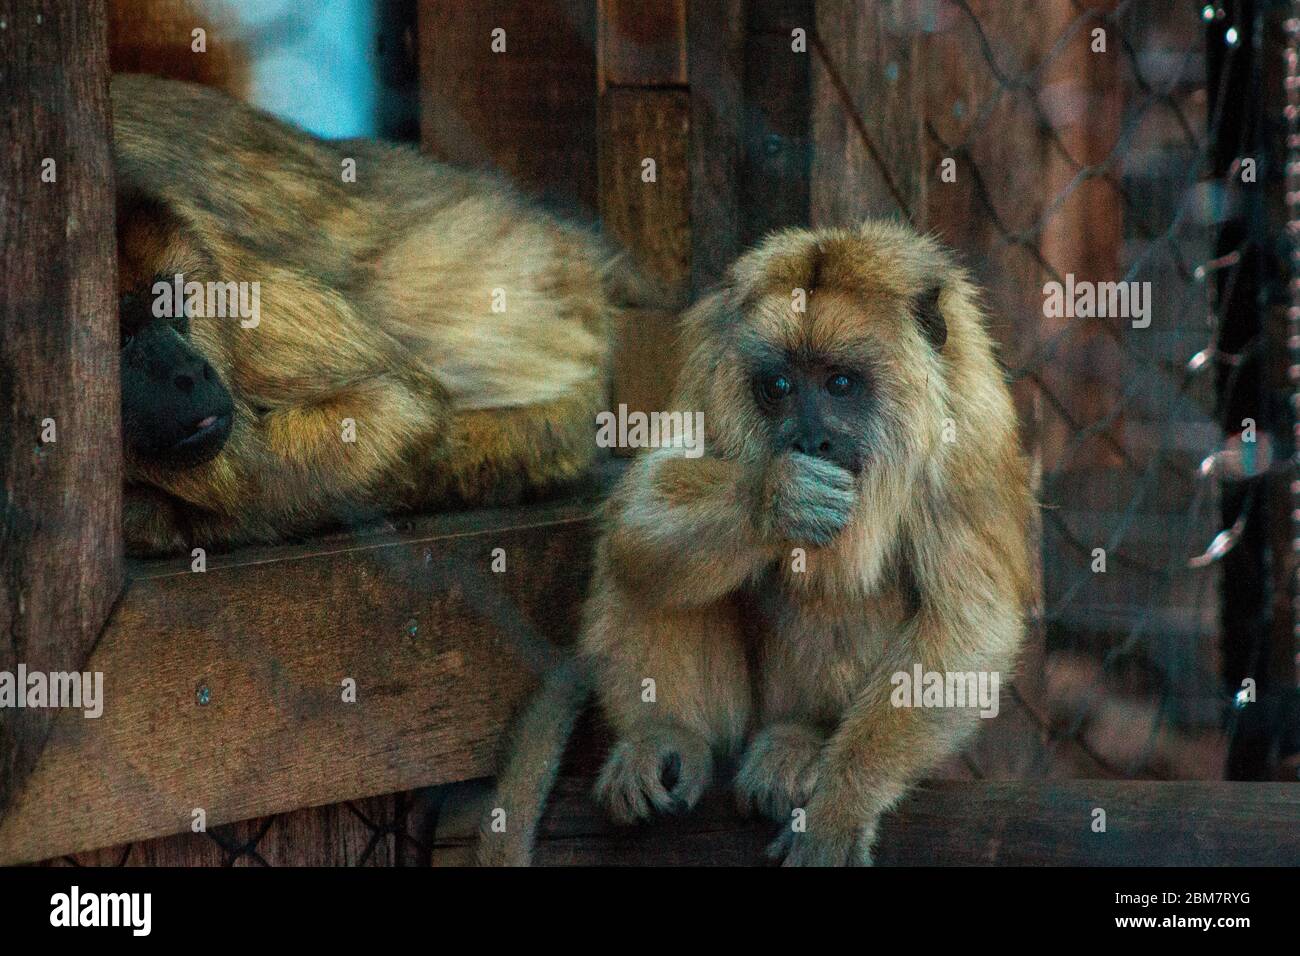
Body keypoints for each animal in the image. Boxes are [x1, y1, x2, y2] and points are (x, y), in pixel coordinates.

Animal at [111, 74, 629, 555]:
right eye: (123, 339)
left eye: (169, 308)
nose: (191, 374)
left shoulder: (215, 253)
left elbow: (402, 405)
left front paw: (160, 516)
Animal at [476, 220, 1034, 866]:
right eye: (779, 386)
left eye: (840, 383)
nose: (809, 441)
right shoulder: (707, 369)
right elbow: (642, 501)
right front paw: (775, 499)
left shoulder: (967, 433)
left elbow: (968, 622)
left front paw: (840, 806)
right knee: (638, 559)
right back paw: (668, 735)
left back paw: (801, 740)